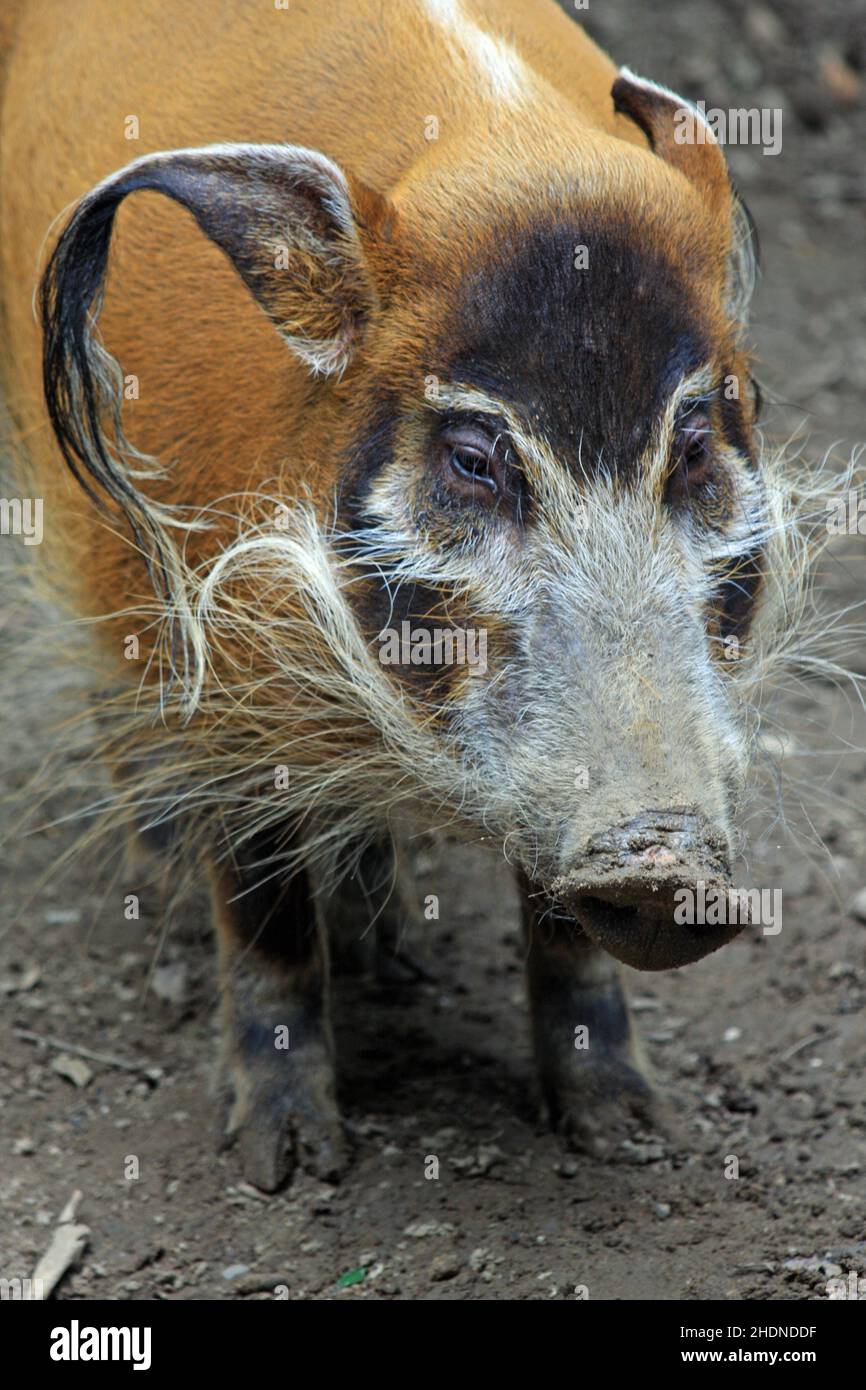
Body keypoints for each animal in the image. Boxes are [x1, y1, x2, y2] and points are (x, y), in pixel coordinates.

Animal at [0, 0, 816, 1188]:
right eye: (474, 457)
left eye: (698, 442)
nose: (665, 864)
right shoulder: (220, 686)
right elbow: (262, 911)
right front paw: (291, 1165)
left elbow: (562, 930)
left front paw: (630, 1133)